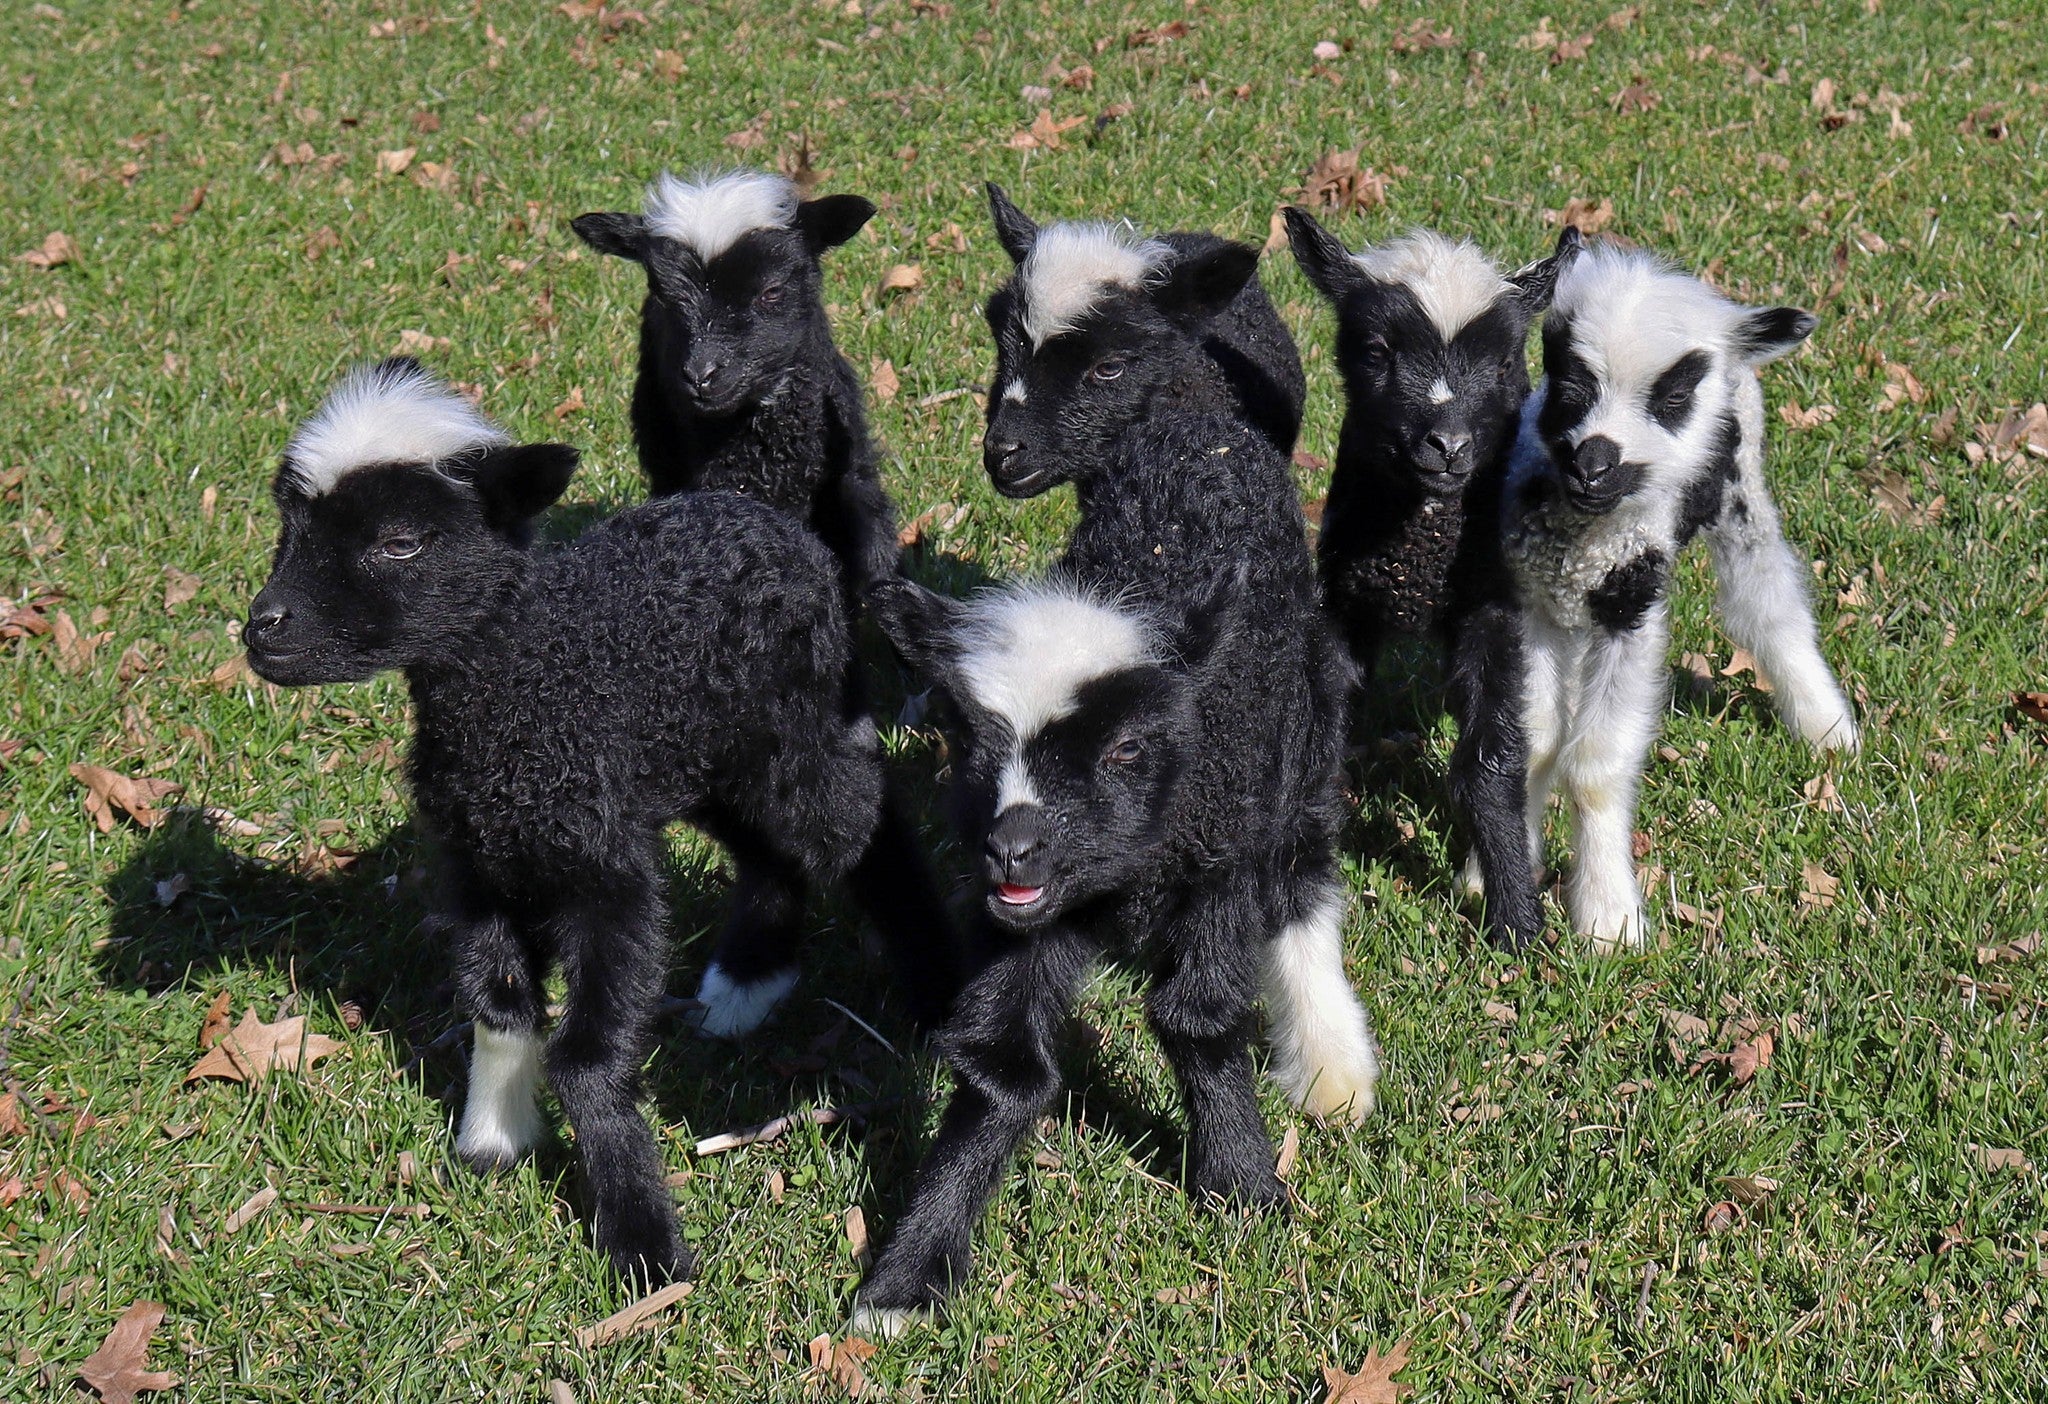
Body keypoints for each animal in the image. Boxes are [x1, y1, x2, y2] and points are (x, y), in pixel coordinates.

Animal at [243, 358, 962, 1284]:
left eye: (399, 542)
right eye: (288, 528)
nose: (262, 630)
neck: (524, 702)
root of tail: (744, 499)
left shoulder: (607, 878)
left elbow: (586, 1058)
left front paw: (643, 1243)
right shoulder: (477, 867)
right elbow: (500, 1010)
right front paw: (493, 1141)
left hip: (801, 719)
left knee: (863, 833)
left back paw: (940, 999)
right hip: (702, 756)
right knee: (767, 854)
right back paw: (747, 982)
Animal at [848, 239, 1378, 1327]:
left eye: (1130, 751)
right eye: (967, 741)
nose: (1011, 846)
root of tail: (1190, 415)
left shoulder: (1219, 854)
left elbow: (1198, 1018)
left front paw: (1242, 1186)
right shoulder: (1024, 915)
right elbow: (1005, 1068)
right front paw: (907, 1274)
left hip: (1304, 729)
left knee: (1304, 864)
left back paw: (1330, 1062)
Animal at [1284, 211, 1581, 951]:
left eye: (1503, 363)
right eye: (1375, 350)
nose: (1447, 446)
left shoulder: (1489, 607)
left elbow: (1491, 763)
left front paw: (1516, 926)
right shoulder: (1344, 601)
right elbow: (1320, 741)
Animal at [1502, 244, 1859, 951]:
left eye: (1672, 397)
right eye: (1569, 383)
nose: (1594, 464)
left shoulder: (1634, 609)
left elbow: (1596, 766)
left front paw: (1608, 923)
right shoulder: (1532, 599)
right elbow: (1536, 742)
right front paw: (1498, 873)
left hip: (1741, 487)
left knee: (1766, 600)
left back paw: (1827, 727)